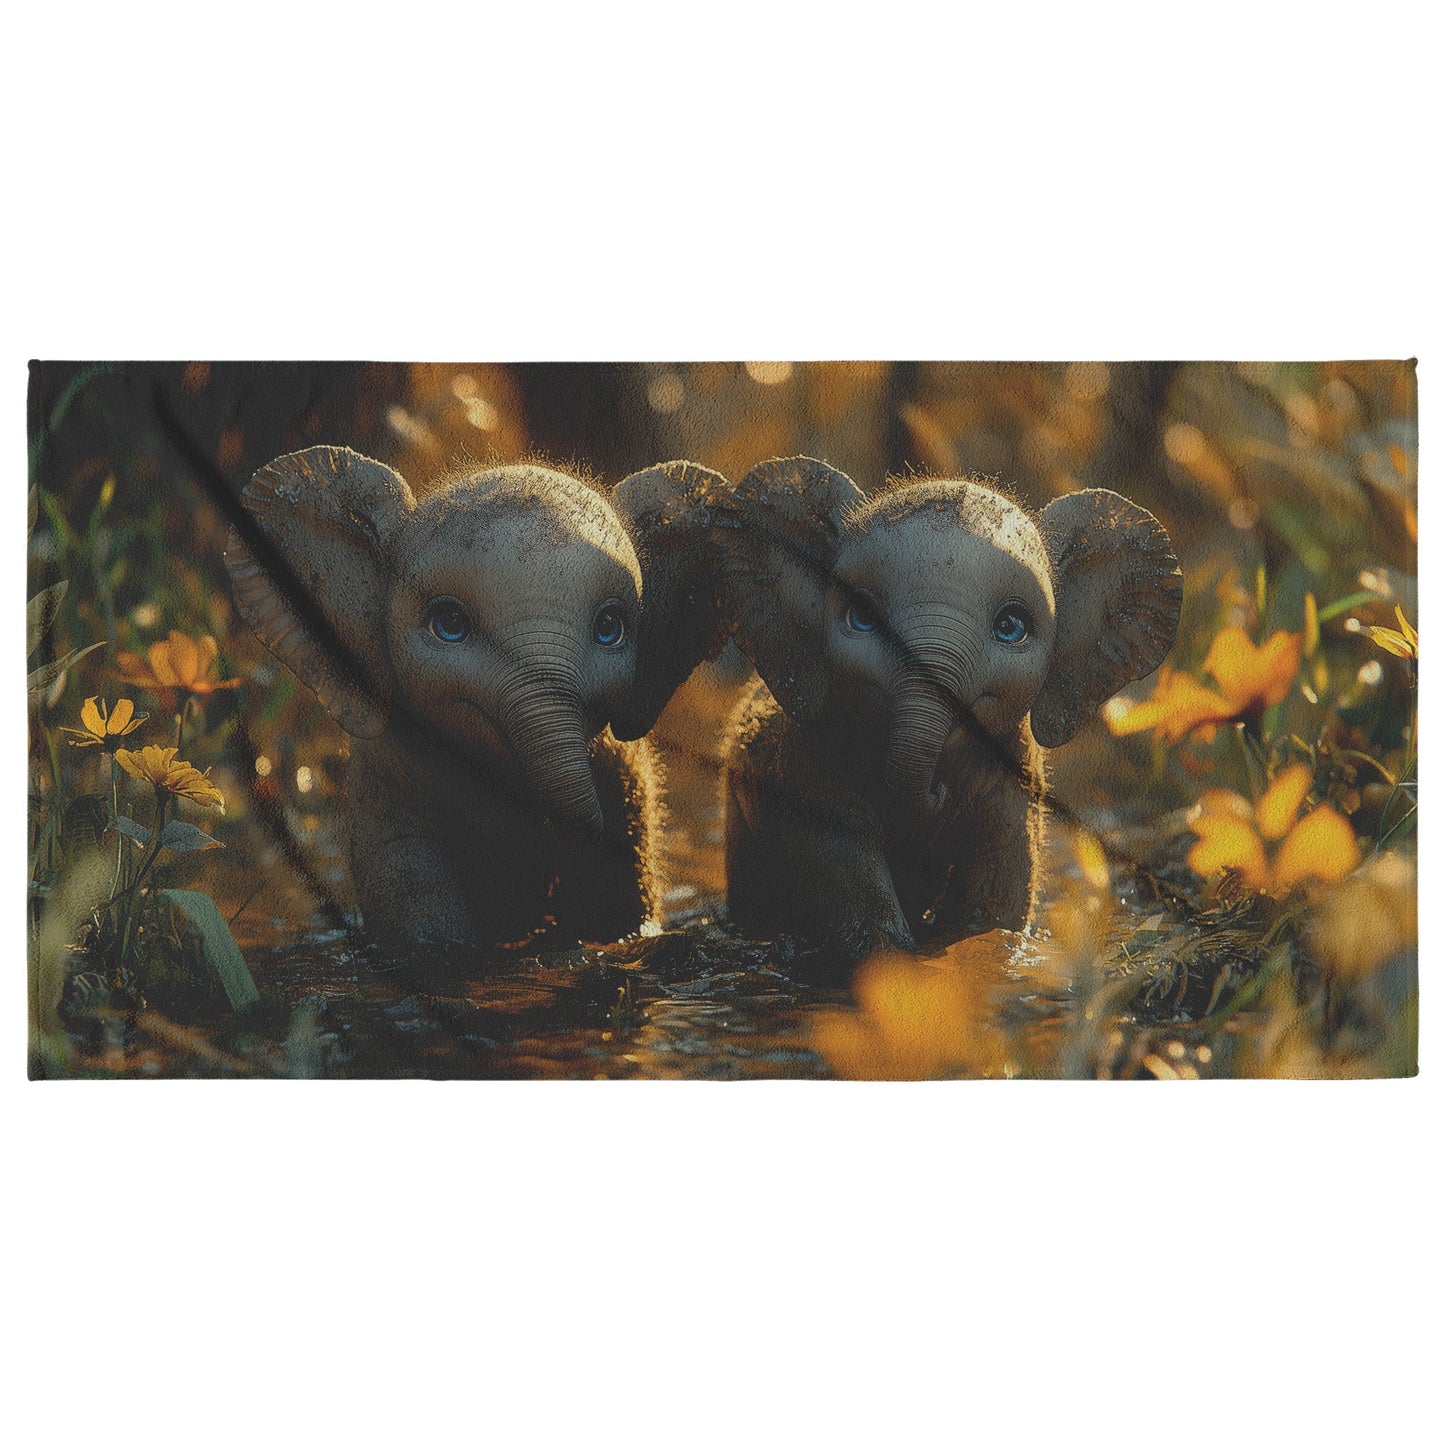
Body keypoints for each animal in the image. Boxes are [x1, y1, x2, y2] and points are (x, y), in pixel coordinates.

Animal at [715, 456, 1182, 960]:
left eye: (1011, 626)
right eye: (862, 617)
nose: (936, 791)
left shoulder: (1011, 785)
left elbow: (993, 909)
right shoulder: (804, 773)